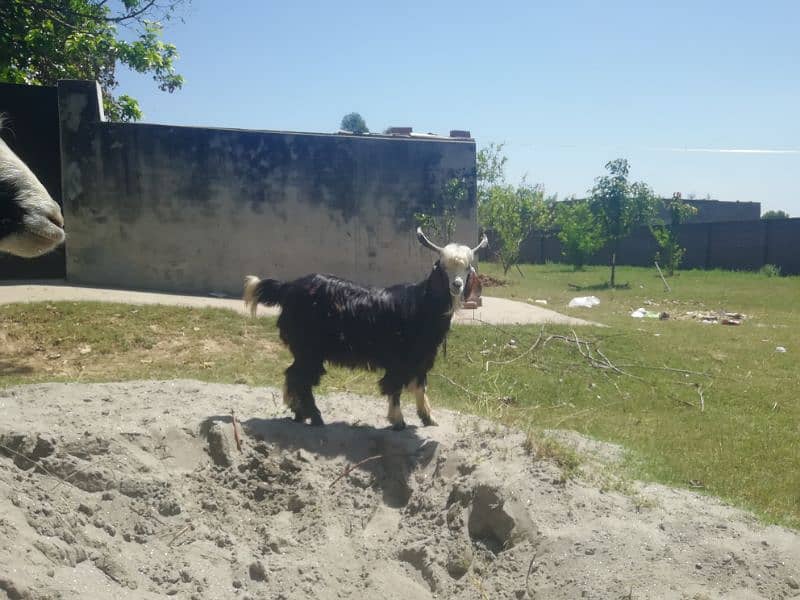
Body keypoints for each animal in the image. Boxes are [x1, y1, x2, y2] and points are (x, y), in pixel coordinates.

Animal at [243, 227, 487, 430]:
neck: (421, 304)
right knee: (301, 378)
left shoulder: (422, 358)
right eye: (443, 267)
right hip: (309, 349)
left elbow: (420, 387)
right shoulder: (399, 359)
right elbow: (394, 387)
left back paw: (298, 413)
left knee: (293, 374)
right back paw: (314, 416)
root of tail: (288, 287)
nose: (457, 285)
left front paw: (428, 418)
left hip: (305, 351)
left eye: (467, 268)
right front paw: (398, 421)